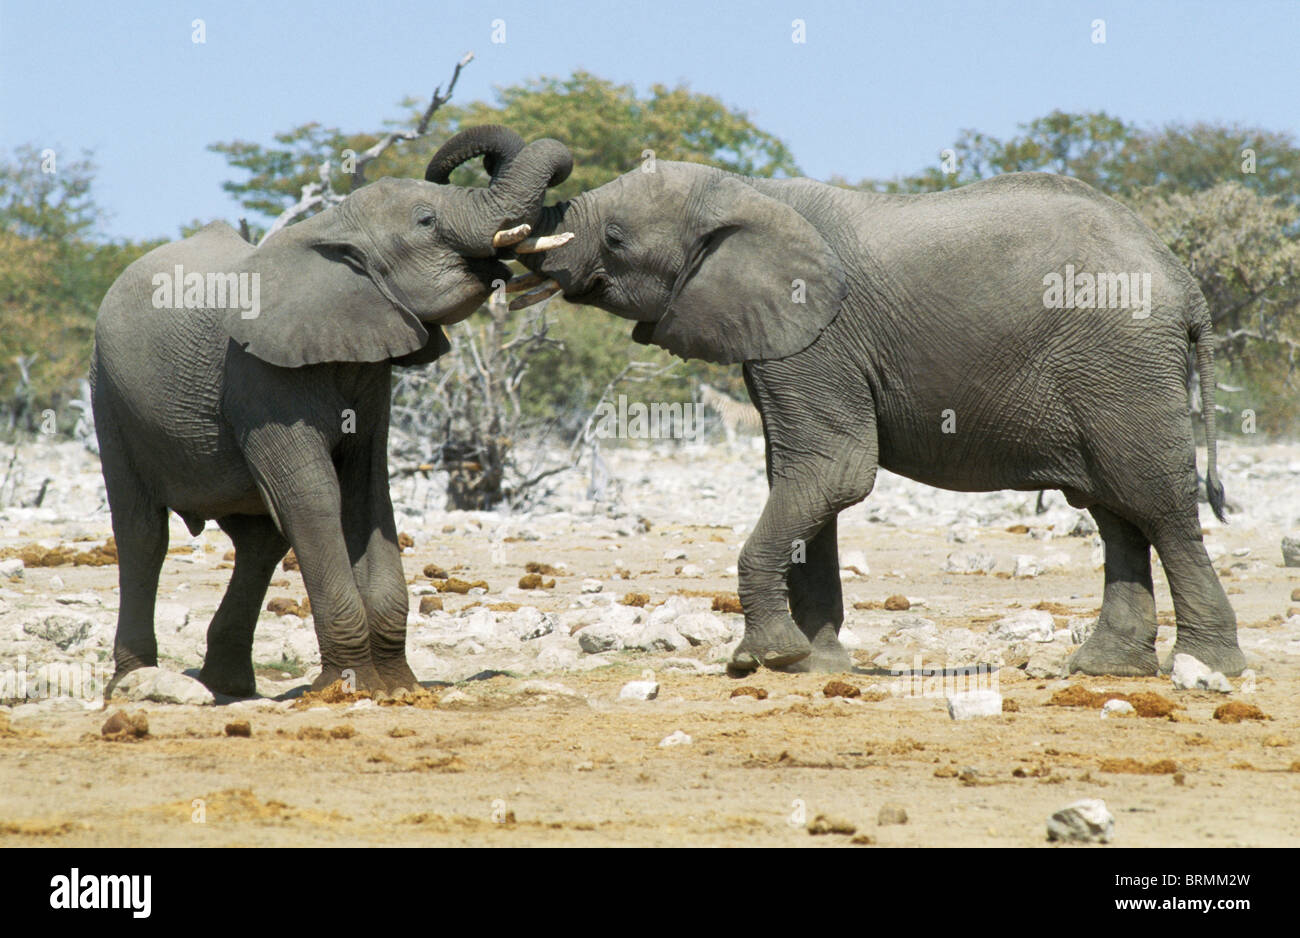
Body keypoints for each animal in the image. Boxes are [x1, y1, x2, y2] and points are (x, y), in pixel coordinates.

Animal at [91, 126, 573, 698]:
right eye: (426, 221)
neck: (332, 229)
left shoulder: (369, 364)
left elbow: (367, 493)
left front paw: (399, 688)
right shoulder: (256, 375)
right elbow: (314, 495)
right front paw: (352, 687)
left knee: (261, 541)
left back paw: (229, 687)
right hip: (108, 394)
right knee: (144, 533)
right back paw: (134, 681)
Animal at [509, 161, 1246, 678]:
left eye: (615, 237)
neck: (749, 194)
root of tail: (1185, 282)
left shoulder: (819, 335)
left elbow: (835, 470)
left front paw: (764, 660)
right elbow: (800, 479)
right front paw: (815, 664)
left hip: (1122, 366)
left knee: (1157, 506)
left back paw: (1204, 669)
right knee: (1115, 510)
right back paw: (1103, 670)